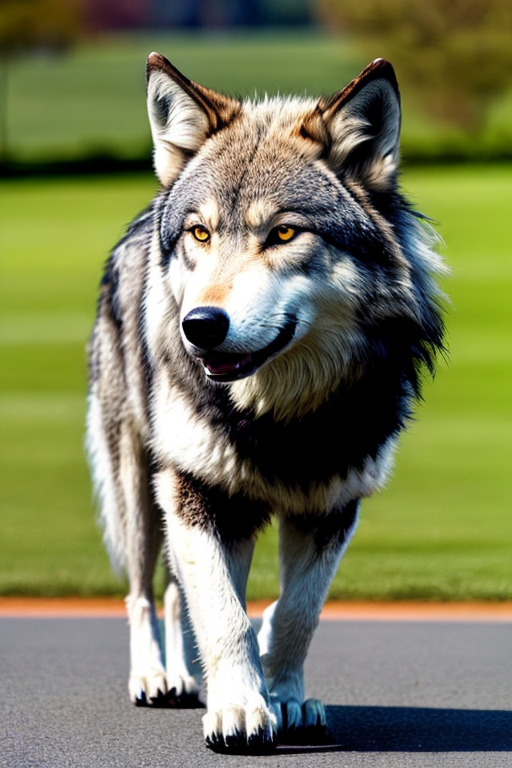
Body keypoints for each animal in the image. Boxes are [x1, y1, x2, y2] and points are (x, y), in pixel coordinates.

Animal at [87, 52, 445, 752]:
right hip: (141, 489)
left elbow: (299, 610)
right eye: (200, 233)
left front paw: (284, 694)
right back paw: (155, 678)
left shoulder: (334, 503)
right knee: (143, 591)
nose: (200, 326)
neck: (282, 417)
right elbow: (224, 613)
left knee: (177, 595)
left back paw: (189, 677)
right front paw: (239, 710)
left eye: (283, 232)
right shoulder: (197, 491)